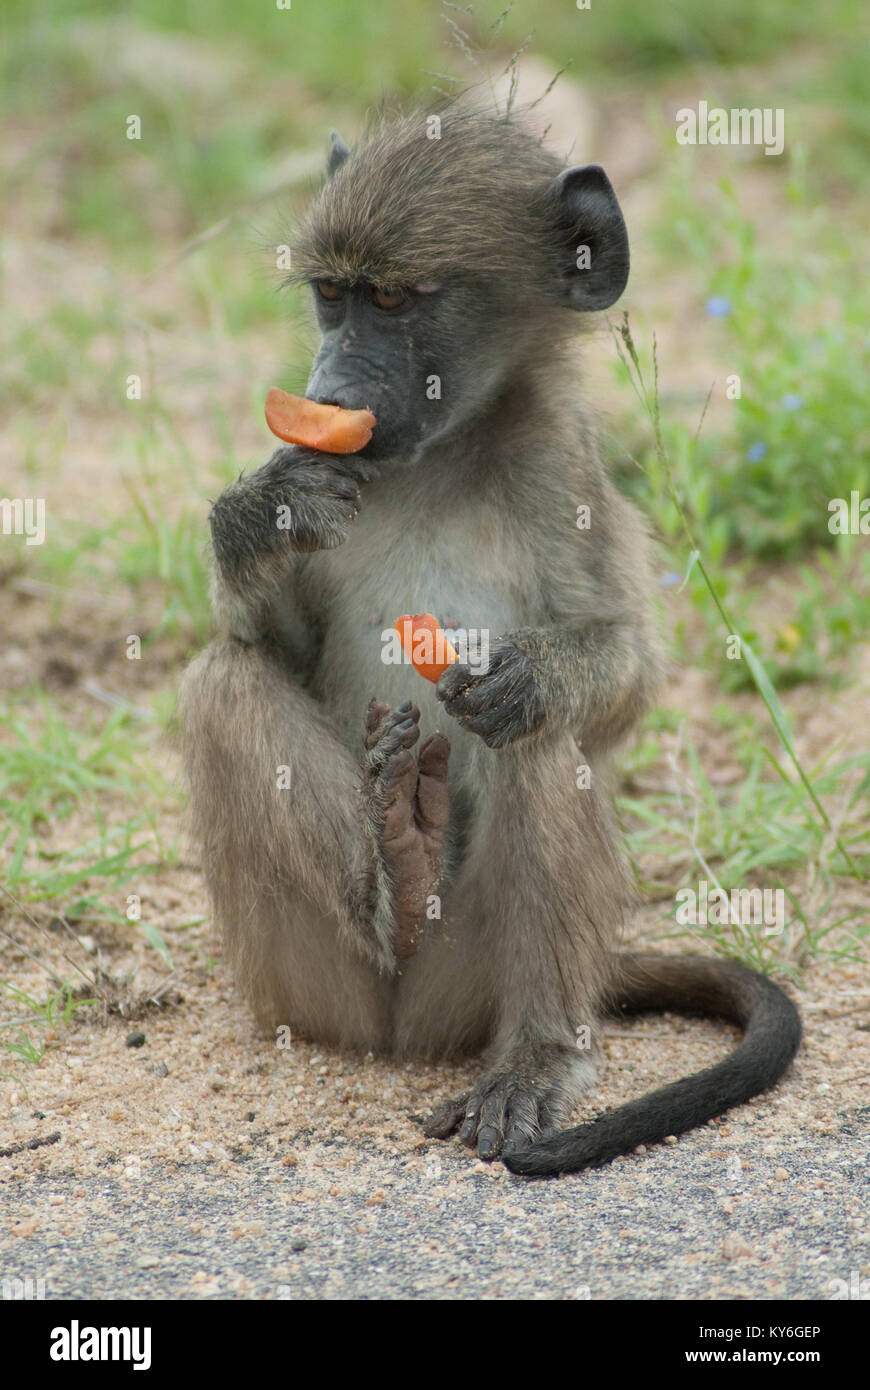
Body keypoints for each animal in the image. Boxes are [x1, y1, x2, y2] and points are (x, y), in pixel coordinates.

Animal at [179, 107, 801, 1178]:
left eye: (393, 297)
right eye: (332, 296)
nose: (326, 389)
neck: (442, 455)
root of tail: (395, 1036)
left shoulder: (562, 462)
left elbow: (625, 667)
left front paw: (535, 675)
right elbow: (272, 644)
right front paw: (258, 514)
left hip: (460, 990)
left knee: (540, 741)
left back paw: (531, 1058)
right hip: (303, 985)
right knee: (226, 681)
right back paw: (395, 865)